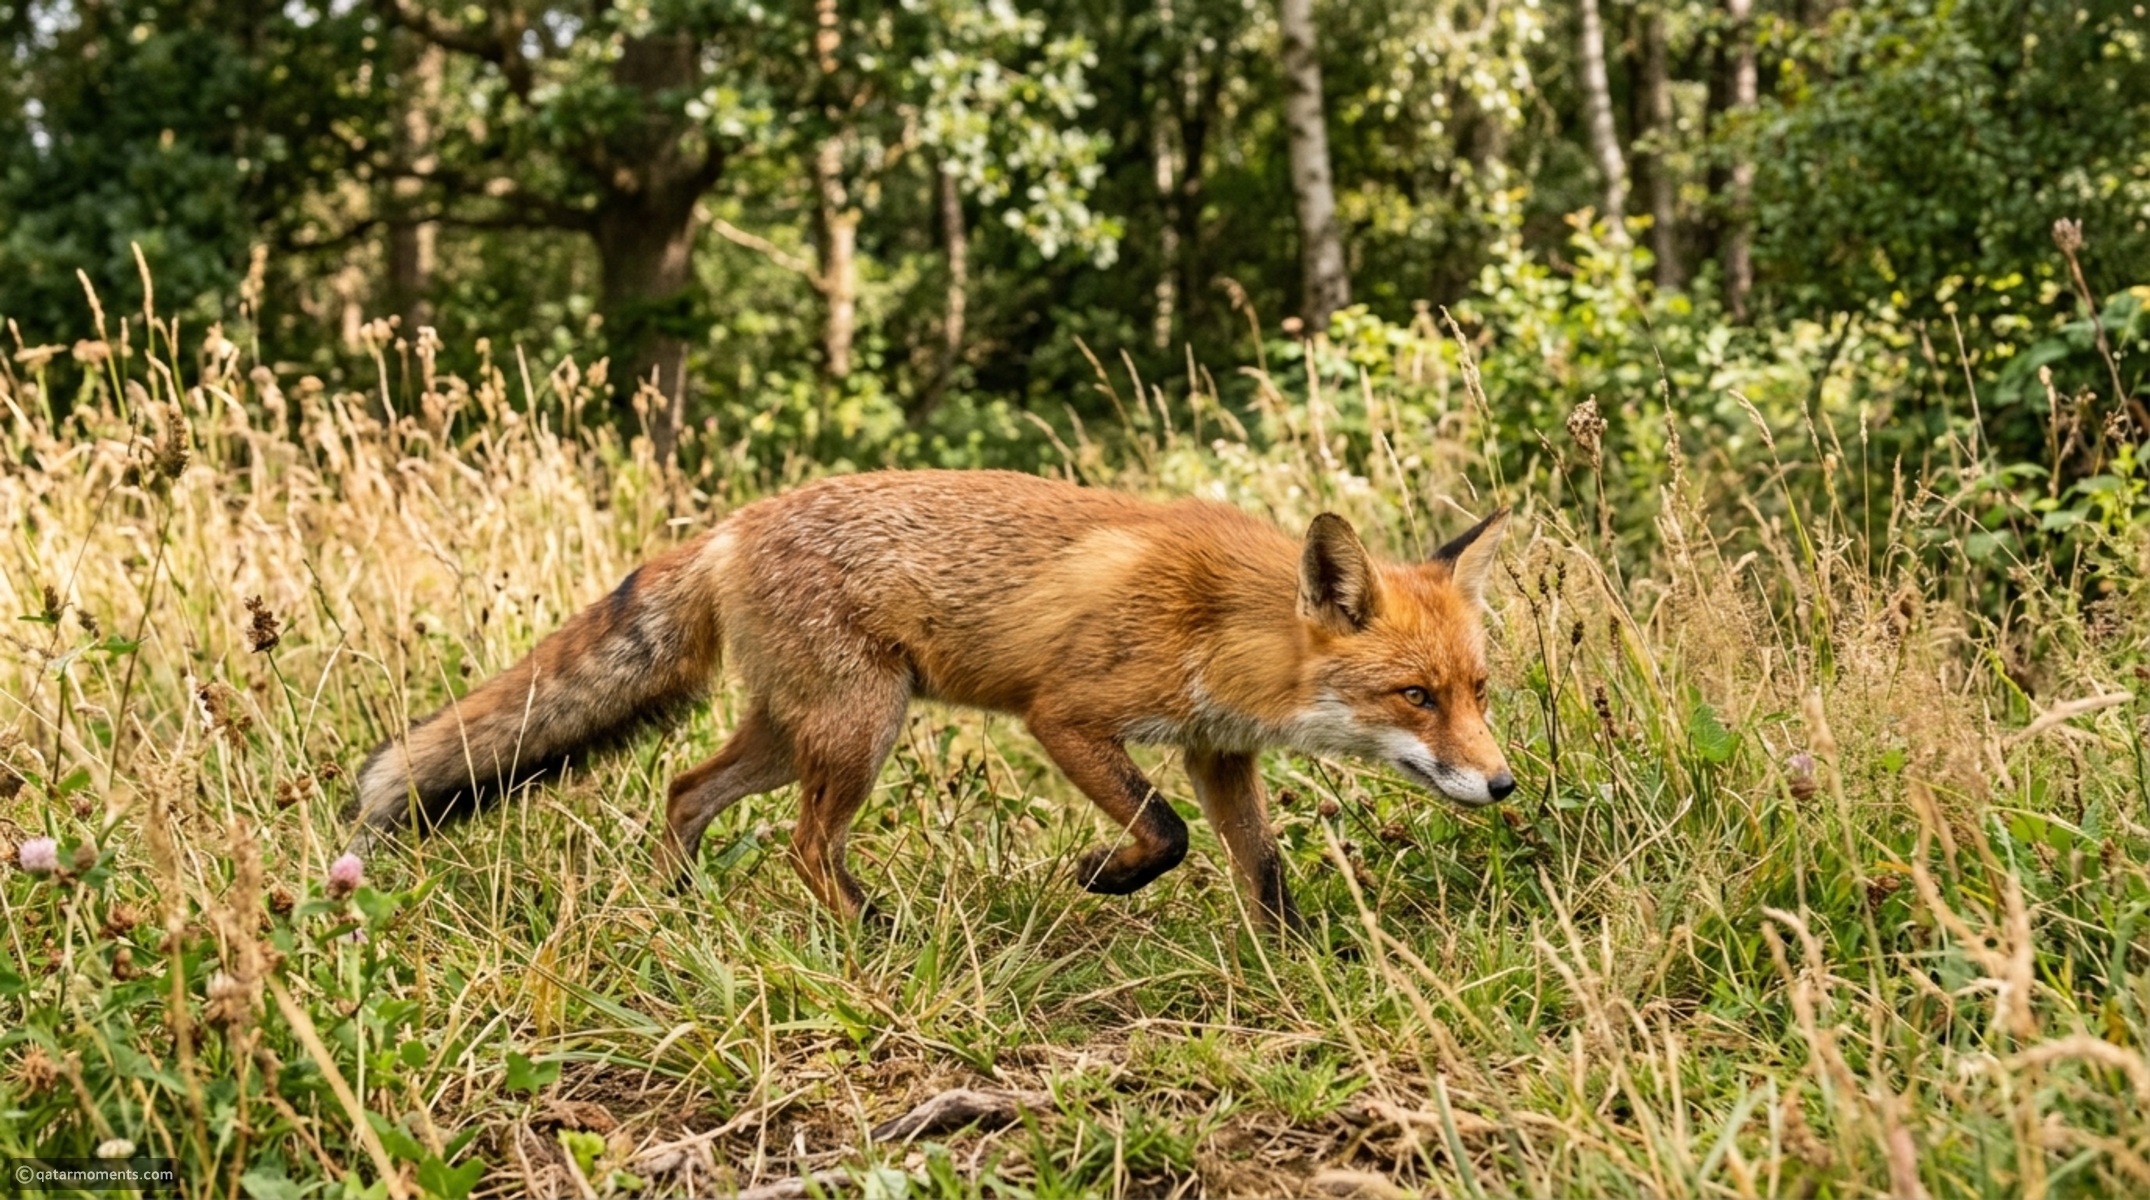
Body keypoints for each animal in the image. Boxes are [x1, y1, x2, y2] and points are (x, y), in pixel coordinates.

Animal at [348, 469, 1513, 930]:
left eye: (1477, 691)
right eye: (1414, 696)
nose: (1503, 785)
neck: (1221, 621)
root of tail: (730, 526)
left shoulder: (1216, 749)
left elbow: (1258, 865)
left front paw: (1295, 956)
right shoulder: (1067, 715)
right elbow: (1166, 834)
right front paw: (1102, 877)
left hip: (801, 732)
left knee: (683, 790)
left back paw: (681, 905)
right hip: (861, 731)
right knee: (803, 845)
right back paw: (871, 931)